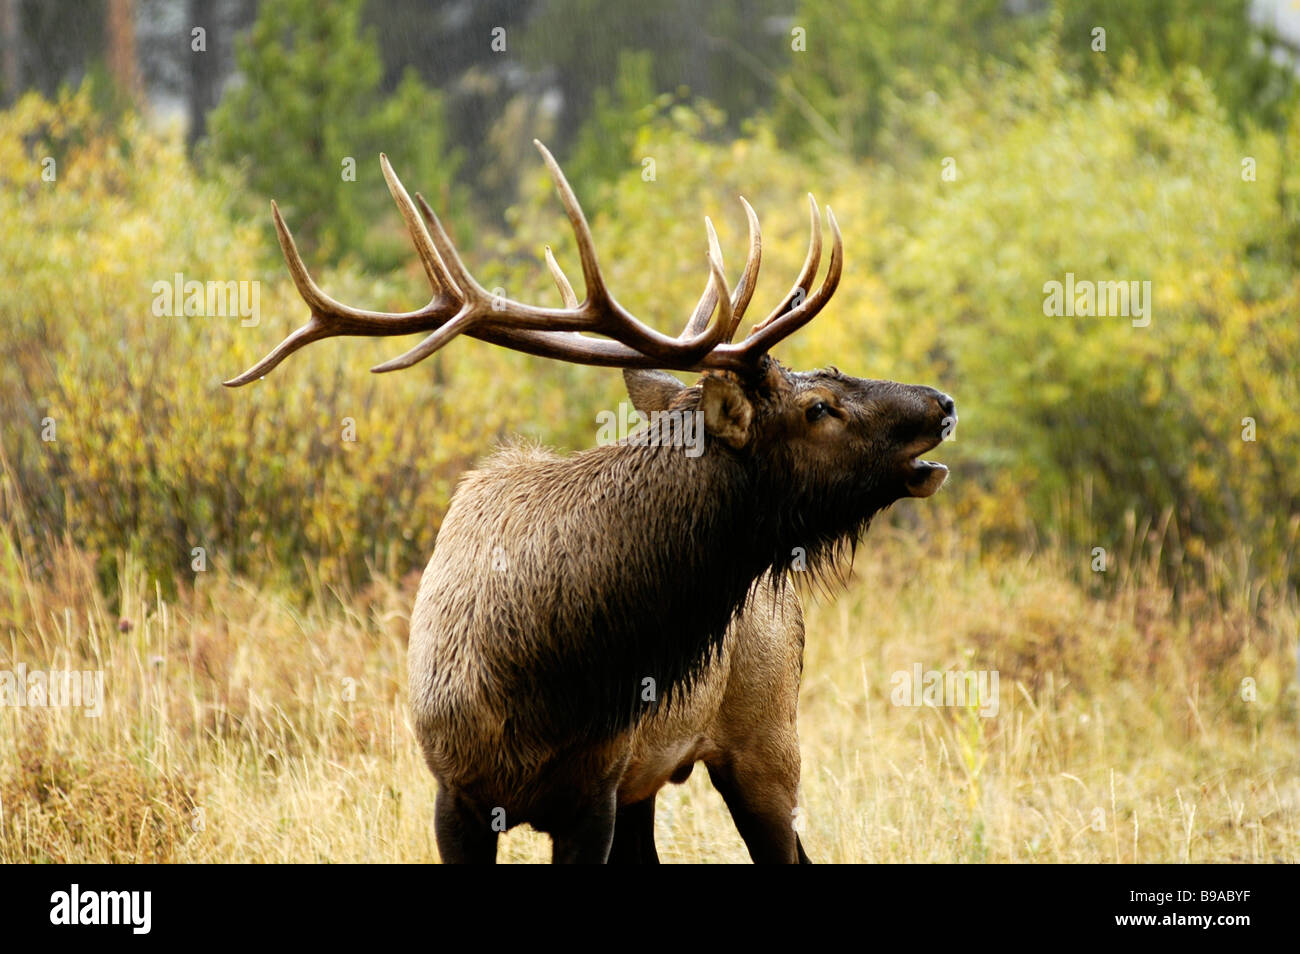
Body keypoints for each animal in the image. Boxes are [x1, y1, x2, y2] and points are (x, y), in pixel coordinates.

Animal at [225, 142, 955, 863]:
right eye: (819, 406)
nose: (942, 404)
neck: (546, 677)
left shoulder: (596, 790)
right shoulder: (455, 793)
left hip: (768, 737)